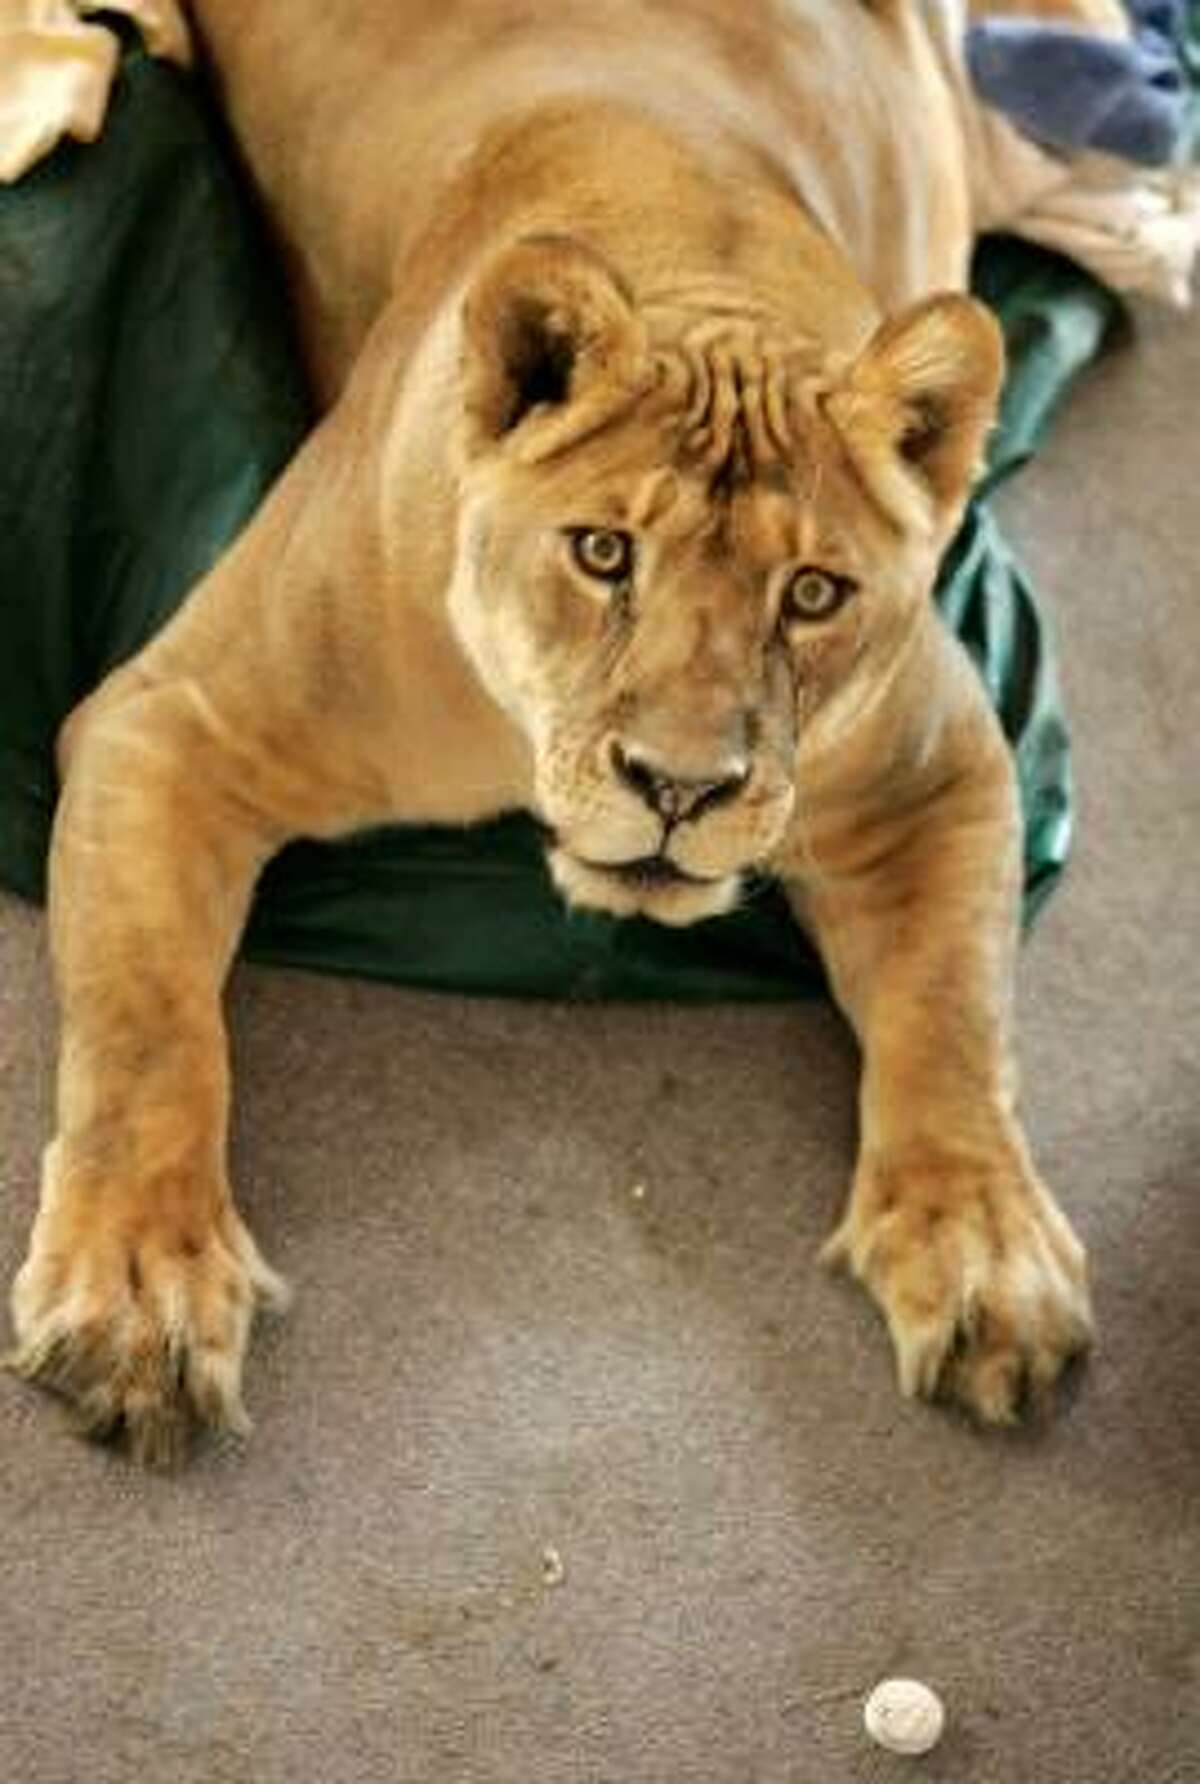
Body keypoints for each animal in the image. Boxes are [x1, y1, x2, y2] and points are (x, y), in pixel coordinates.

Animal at [5, 0, 1094, 1464]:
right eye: (603, 551)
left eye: (813, 594)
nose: (681, 788)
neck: (706, 246)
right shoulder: (172, 719)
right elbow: (147, 1029)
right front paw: (139, 1298)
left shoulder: (944, 774)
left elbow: (956, 1015)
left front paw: (984, 1253)